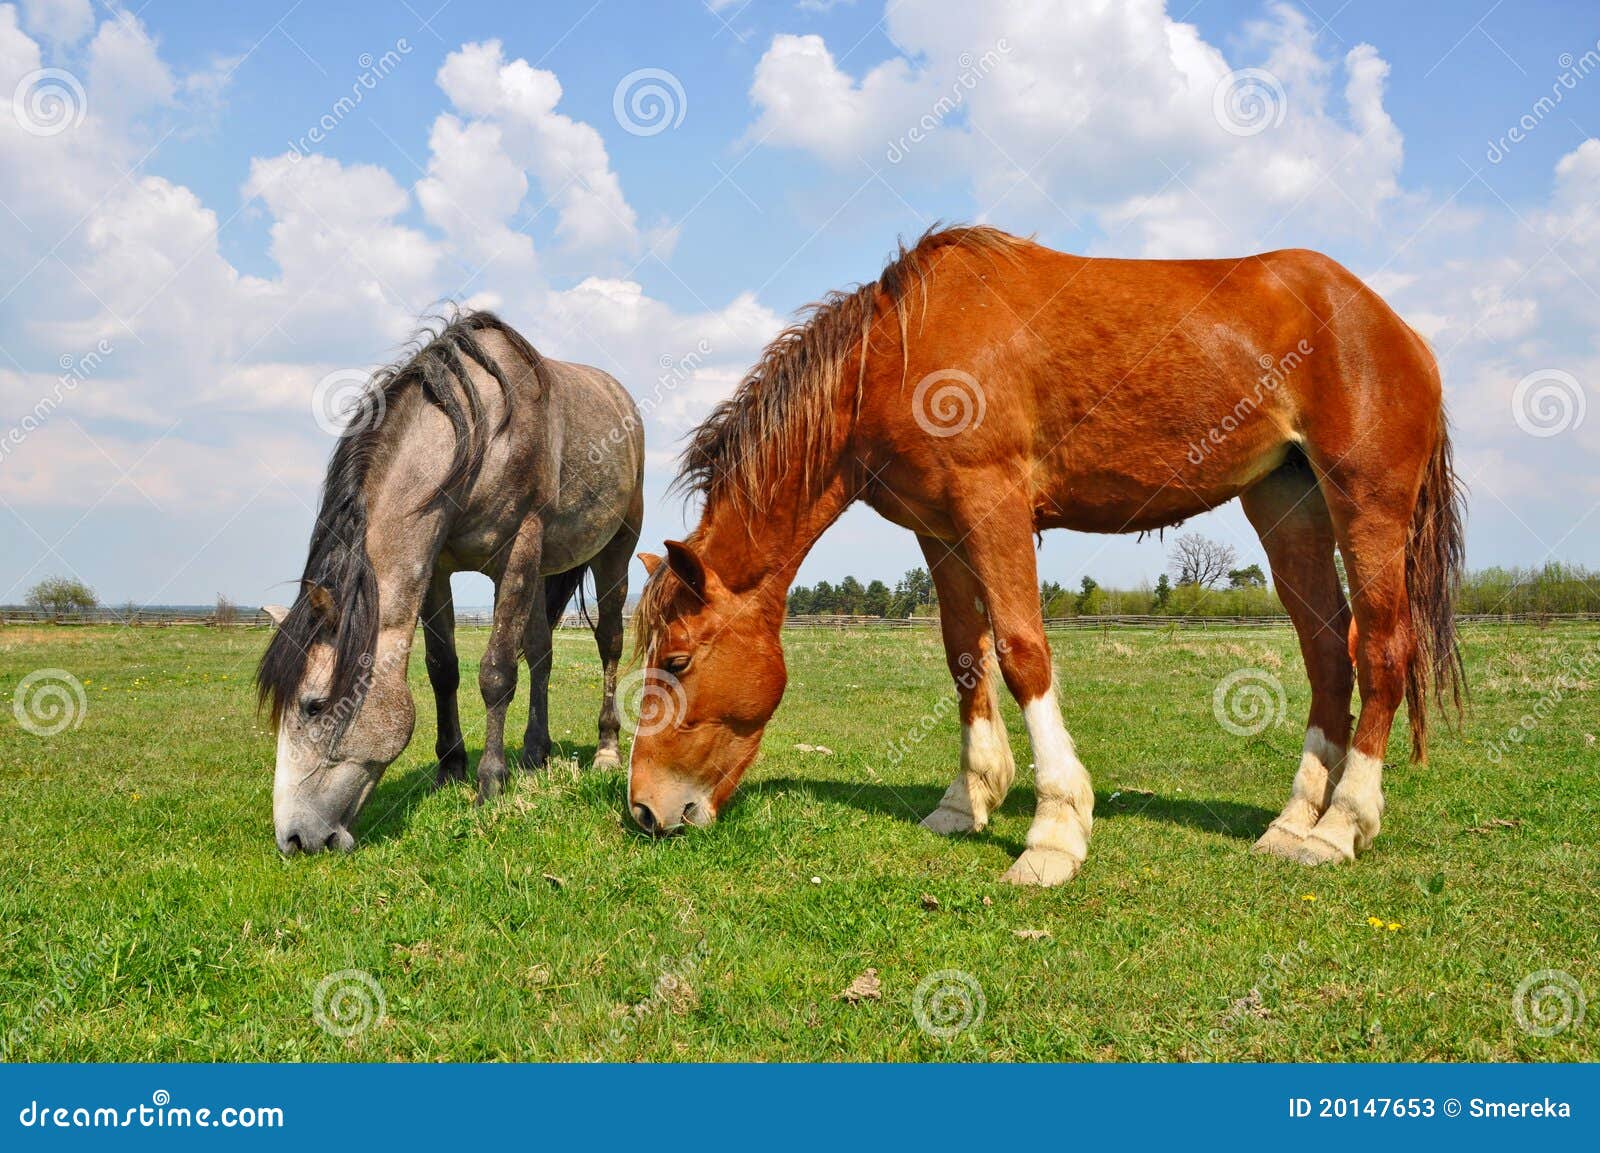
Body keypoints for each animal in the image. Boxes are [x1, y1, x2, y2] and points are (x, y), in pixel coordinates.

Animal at [256, 311, 643, 855]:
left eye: (313, 707)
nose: (294, 838)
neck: (479, 437)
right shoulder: (436, 570)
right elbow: (444, 669)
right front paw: (451, 769)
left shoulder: (515, 553)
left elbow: (496, 672)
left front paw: (489, 784)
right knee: (541, 654)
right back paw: (535, 753)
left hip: (616, 552)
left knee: (609, 642)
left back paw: (606, 749)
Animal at [628, 225, 1464, 886]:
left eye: (676, 660)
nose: (642, 809)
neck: (902, 351)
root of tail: (1399, 330)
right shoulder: (941, 529)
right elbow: (965, 653)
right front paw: (967, 799)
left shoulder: (993, 503)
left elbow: (1023, 651)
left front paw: (1054, 830)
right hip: (1287, 505)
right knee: (1327, 653)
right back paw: (1293, 822)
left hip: (1367, 505)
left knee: (1381, 650)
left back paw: (1340, 826)